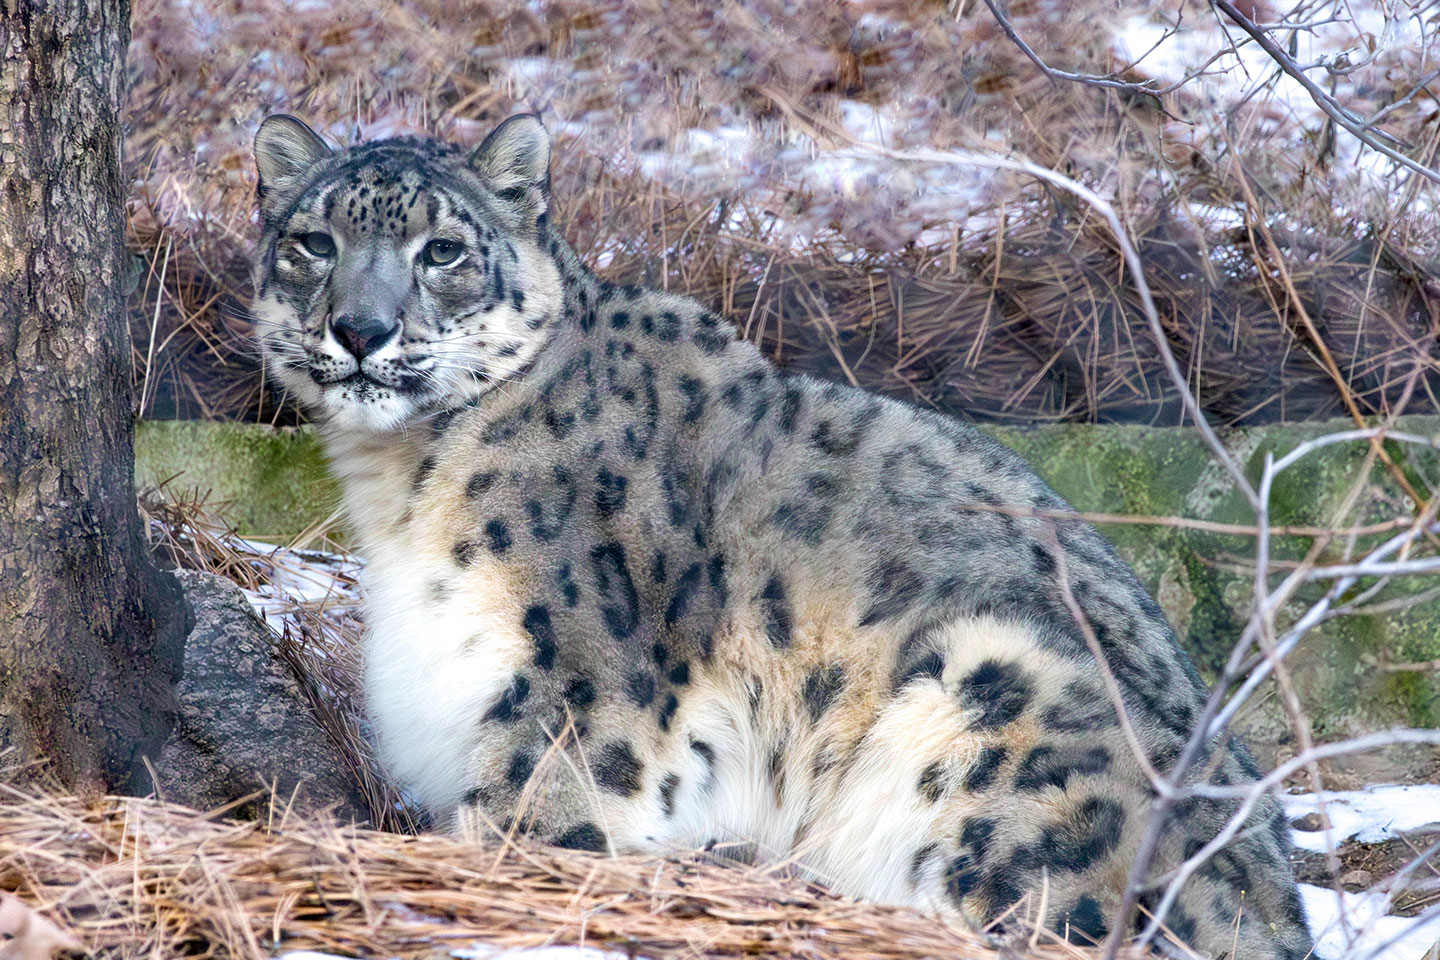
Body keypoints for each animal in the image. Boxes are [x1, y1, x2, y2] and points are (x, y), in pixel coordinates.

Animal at [251, 112, 1313, 958]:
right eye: (312, 241)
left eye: (441, 251)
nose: (360, 328)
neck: (401, 488)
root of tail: (1282, 922)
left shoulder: (576, 689)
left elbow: (532, 809)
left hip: (1009, 689)